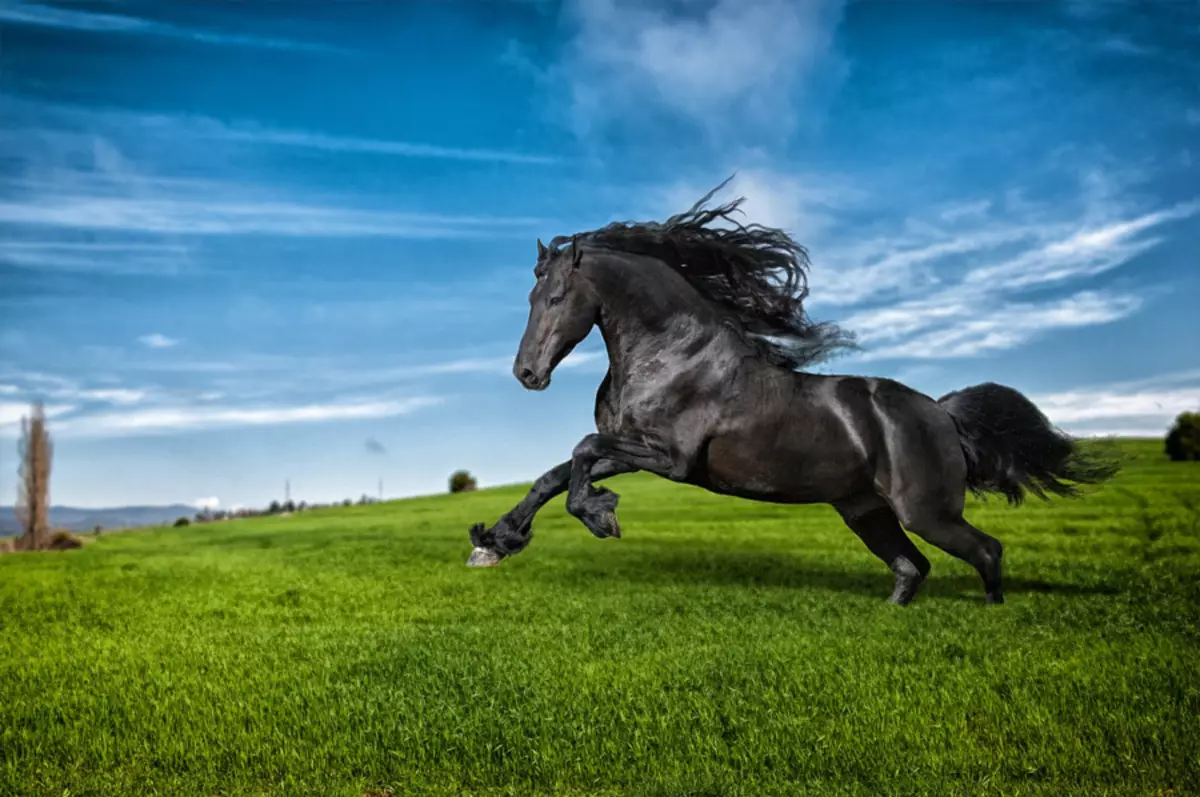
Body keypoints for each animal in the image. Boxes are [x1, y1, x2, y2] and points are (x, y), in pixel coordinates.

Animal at [465, 178, 1113, 604]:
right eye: (530, 297)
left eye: (555, 298)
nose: (527, 374)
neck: (671, 354)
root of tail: (940, 414)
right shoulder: (634, 450)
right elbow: (556, 473)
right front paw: (493, 542)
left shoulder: (669, 460)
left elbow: (580, 452)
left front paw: (601, 518)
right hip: (866, 511)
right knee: (913, 568)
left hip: (926, 510)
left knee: (984, 551)